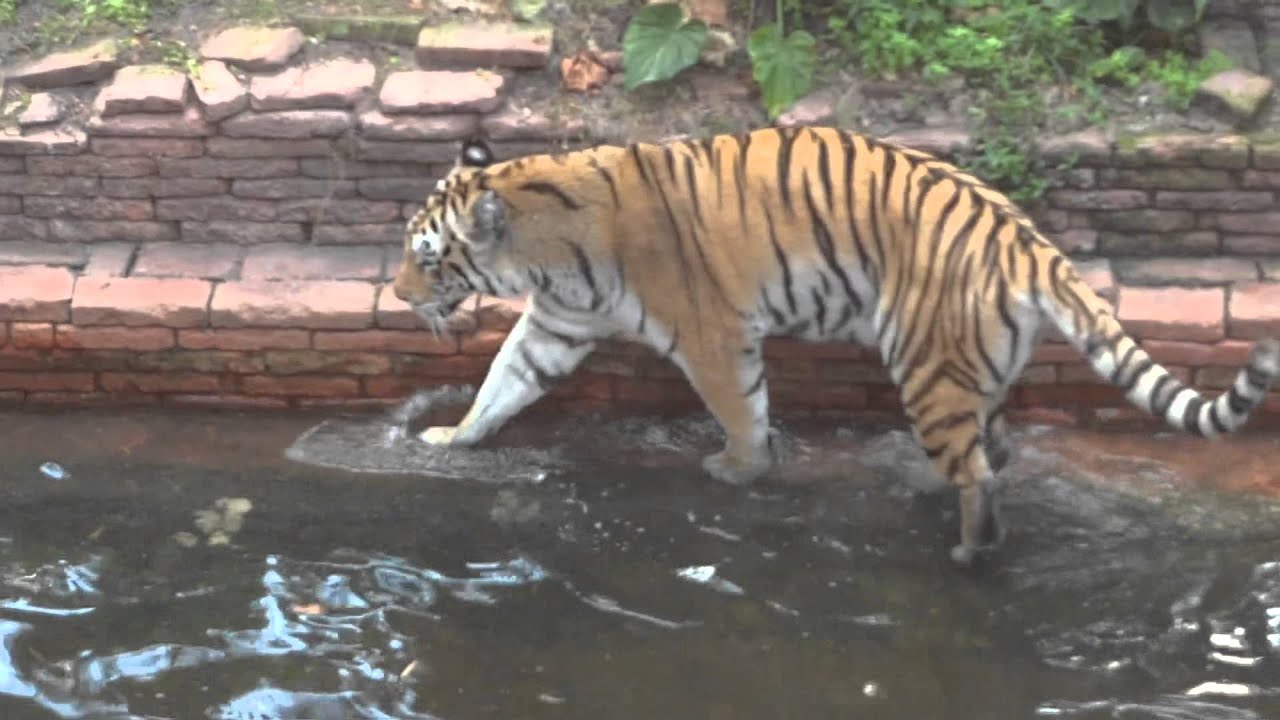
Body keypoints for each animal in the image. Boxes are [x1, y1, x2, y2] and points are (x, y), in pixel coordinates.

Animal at [391, 127, 1280, 566]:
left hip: (925, 363)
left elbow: (741, 413)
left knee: (980, 472)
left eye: (428, 258)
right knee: (992, 448)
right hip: (974, 369)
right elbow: (503, 382)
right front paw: (448, 439)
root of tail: (1028, 240)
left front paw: (739, 471)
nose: (399, 295)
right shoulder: (557, 323)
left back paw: (967, 553)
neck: (546, 243)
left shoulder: (712, 335)